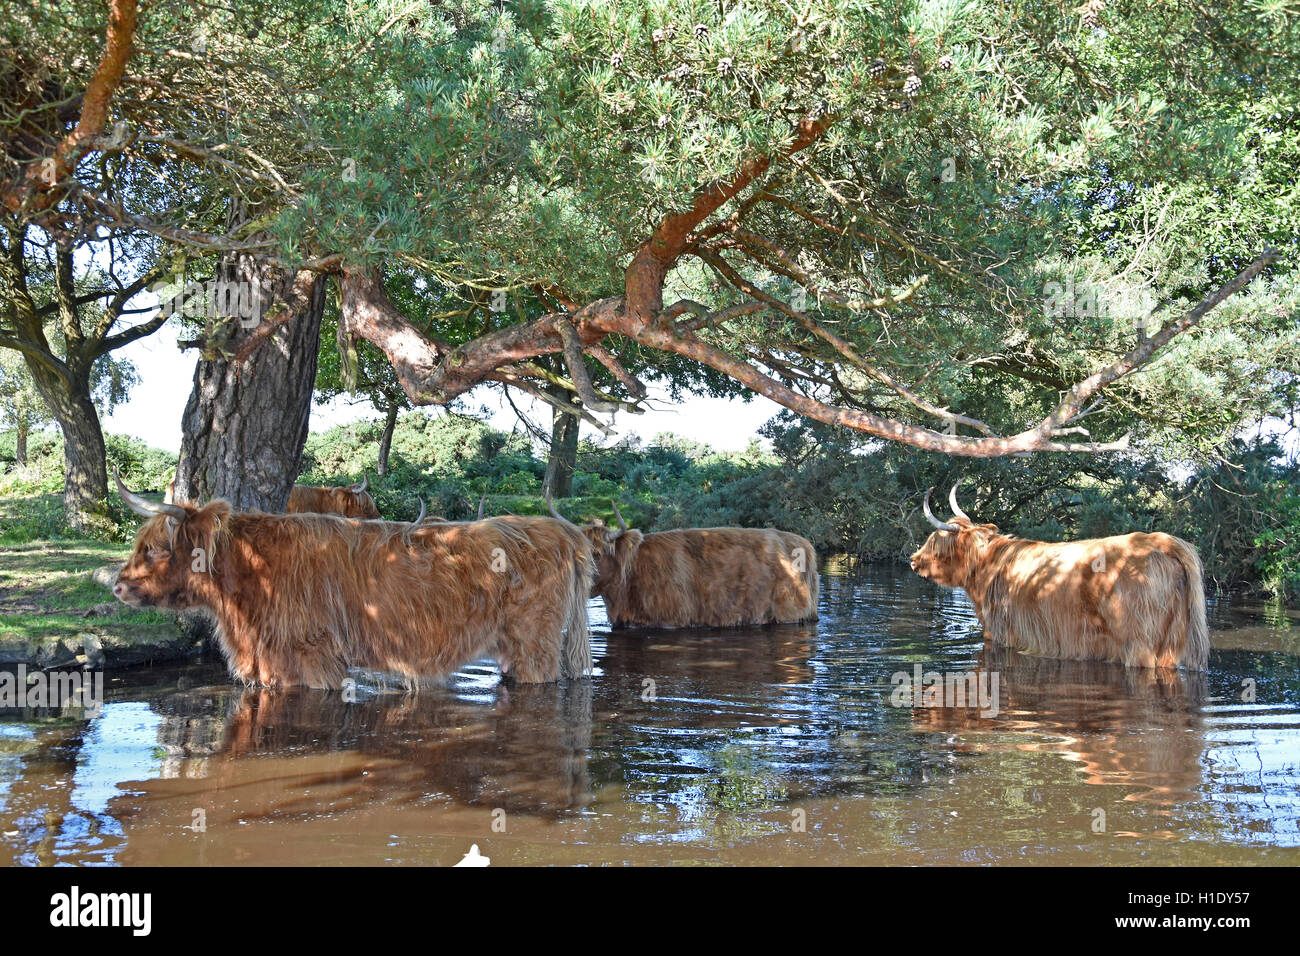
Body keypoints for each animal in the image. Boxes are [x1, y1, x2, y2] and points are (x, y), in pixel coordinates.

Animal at [909, 484, 1209, 671]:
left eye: (936, 543)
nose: (913, 560)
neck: (989, 566)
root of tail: (1162, 541)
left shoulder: (1000, 632)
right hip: (1172, 643)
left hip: (1138, 643)